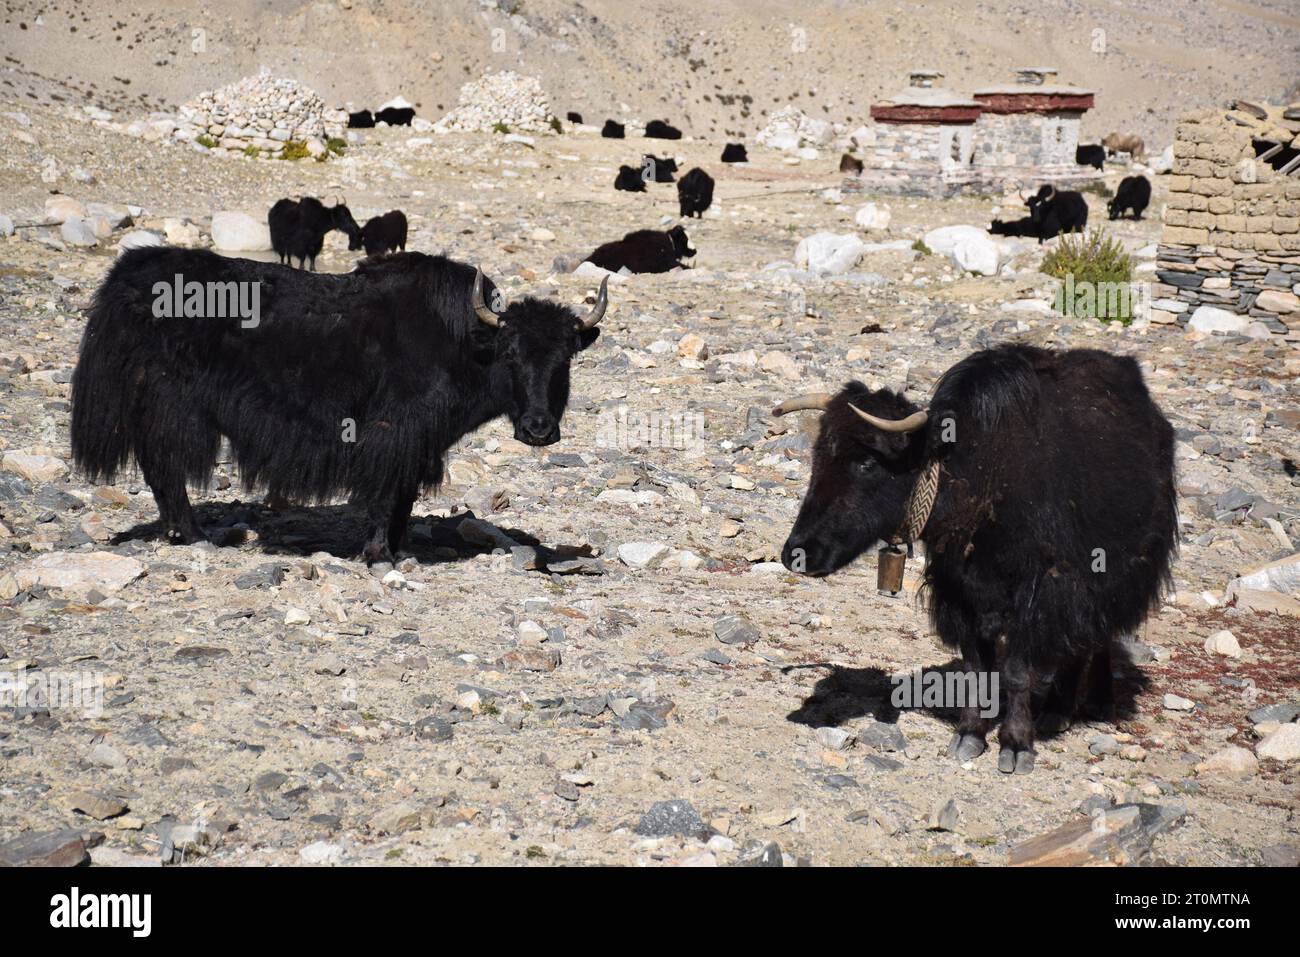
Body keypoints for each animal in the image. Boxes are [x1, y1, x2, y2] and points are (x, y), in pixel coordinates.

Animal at [70, 248, 608, 567]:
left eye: (565, 359)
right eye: (511, 353)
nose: (538, 430)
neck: (465, 345)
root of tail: (123, 278)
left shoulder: (418, 444)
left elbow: (403, 497)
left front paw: (397, 549)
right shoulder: (394, 431)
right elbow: (387, 495)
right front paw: (378, 555)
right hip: (171, 403)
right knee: (166, 466)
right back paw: (194, 533)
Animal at [773, 344, 1177, 774]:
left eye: (866, 462)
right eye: (818, 456)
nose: (796, 553)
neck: (977, 476)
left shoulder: (1037, 592)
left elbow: (1016, 670)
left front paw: (1015, 745)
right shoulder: (959, 594)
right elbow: (974, 668)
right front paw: (969, 734)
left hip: (1112, 573)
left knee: (1094, 636)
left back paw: (1083, 705)